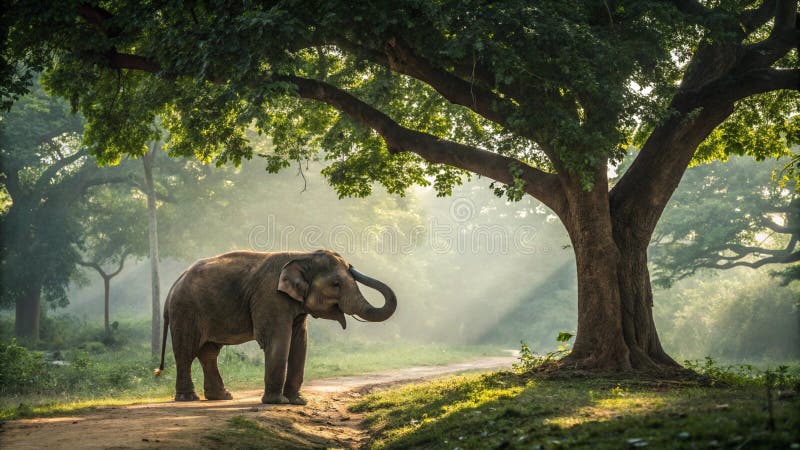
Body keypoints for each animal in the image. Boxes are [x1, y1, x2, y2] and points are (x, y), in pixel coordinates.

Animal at [154, 249, 397, 405]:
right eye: (336, 284)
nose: (352, 265)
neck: (302, 254)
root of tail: (174, 284)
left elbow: (300, 342)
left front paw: (298, 402)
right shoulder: (271, 297)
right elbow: (278, 339)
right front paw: (277, 402)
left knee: (209, 352)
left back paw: (222, 397)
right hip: (185, 311)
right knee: (186, 351)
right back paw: (189, 398)